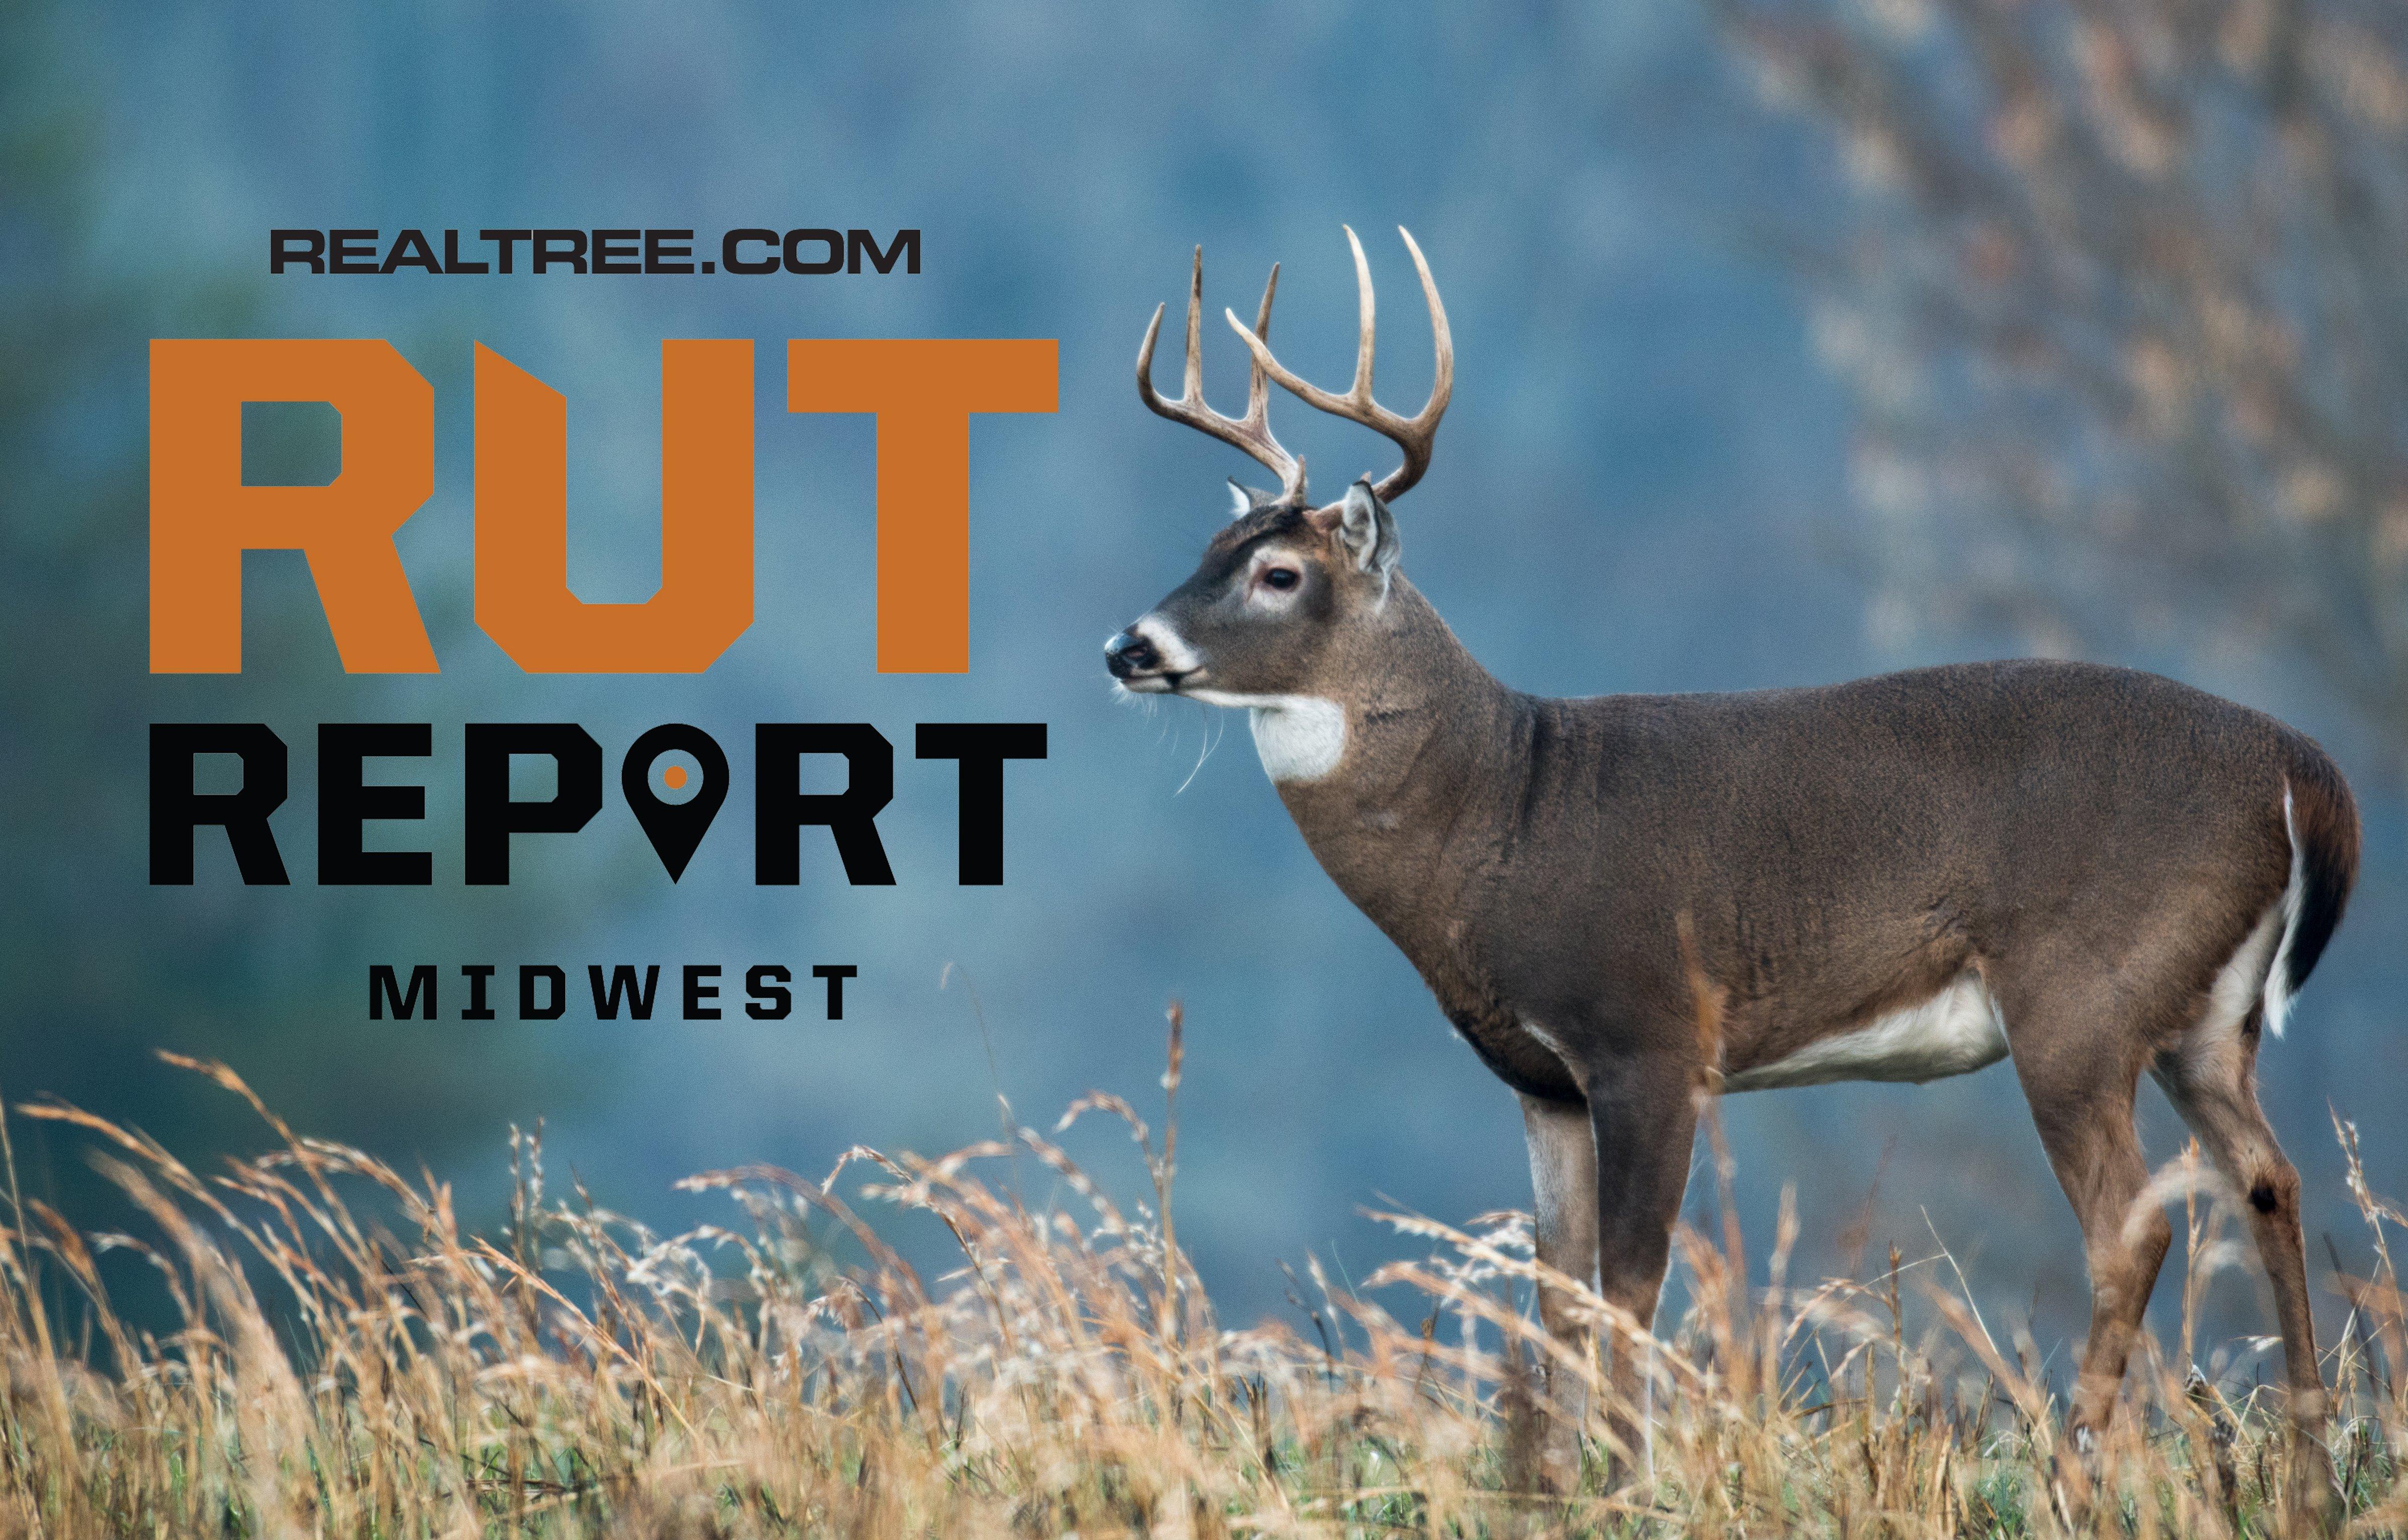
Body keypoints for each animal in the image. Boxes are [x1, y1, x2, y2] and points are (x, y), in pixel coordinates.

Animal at [1103, 227, 2361, 1503]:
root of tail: (2302, 771)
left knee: (2134, 1225)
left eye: (1278, 574)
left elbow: (1630, 1280)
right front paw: (1561, 1480)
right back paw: (2307, 1474)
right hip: (2203, 1018)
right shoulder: (1540, 1080)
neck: (1501, 809)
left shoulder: (1650, 1035)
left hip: (2078, 996)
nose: (1127, 646)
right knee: (2269, 1181)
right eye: (1206, 548)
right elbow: (1559, 1290)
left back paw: (2071, 1475)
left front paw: (1623, 1482)